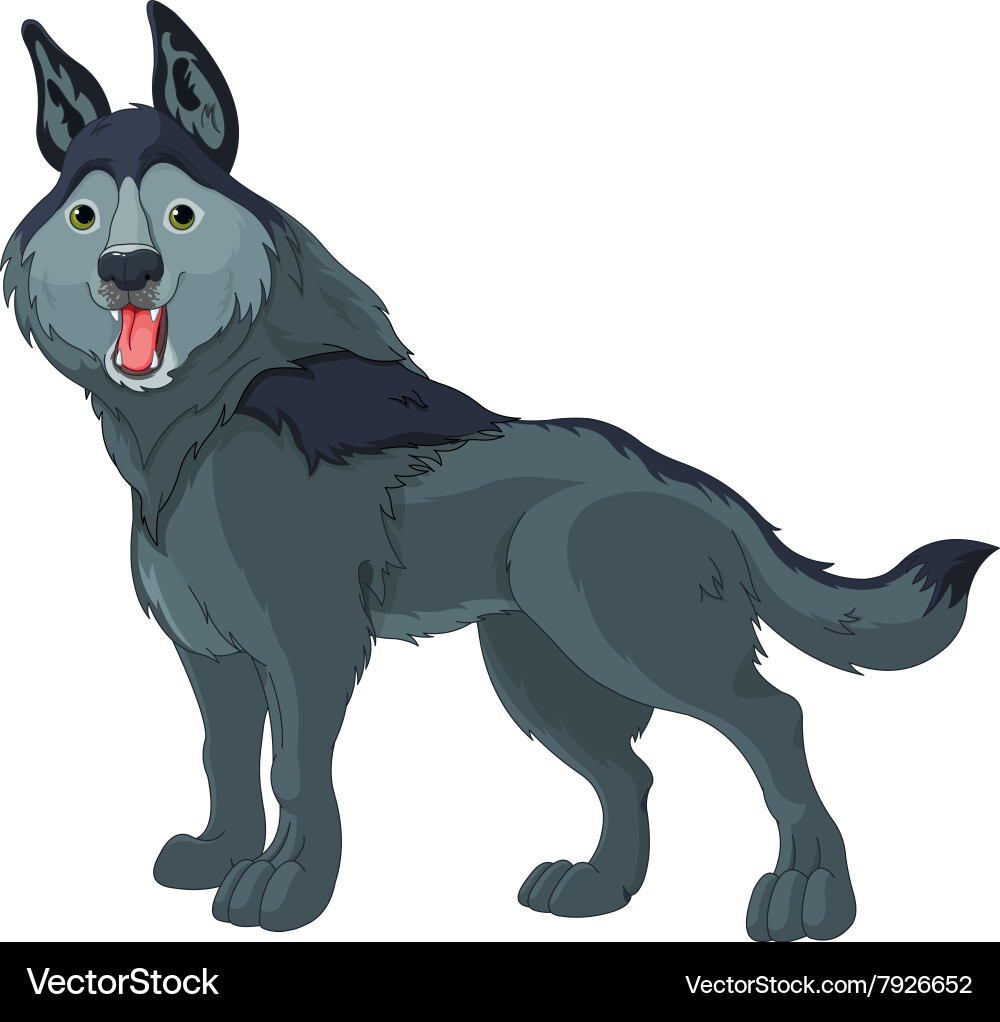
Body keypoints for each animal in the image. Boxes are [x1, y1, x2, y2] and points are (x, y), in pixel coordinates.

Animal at [3, 2, 994, 940]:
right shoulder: (210, 658)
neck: (208, 410)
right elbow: (224, 762)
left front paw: (287, 886)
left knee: (774, 723)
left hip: (637, 641)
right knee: (631, 774)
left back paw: (809, 896)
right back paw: (599, 887)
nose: (130, 269)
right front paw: (219, 853)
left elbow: (292, 772)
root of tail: (701, 487)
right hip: (540, 670)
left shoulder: (307, 652)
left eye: (180, 215)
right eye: (84, 216)